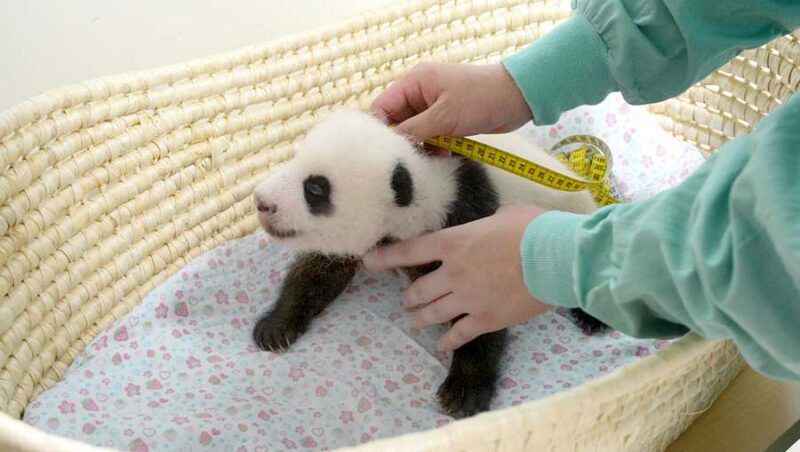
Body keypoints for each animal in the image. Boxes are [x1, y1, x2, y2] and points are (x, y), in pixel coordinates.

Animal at [252, 109, 606, 417]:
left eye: (315, 188)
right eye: (295, 159)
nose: (261, 202)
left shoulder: (465, 220)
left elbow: (477, 301)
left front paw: (463, 391)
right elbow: (318, 271)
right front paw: (275, 327)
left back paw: (592, 316)